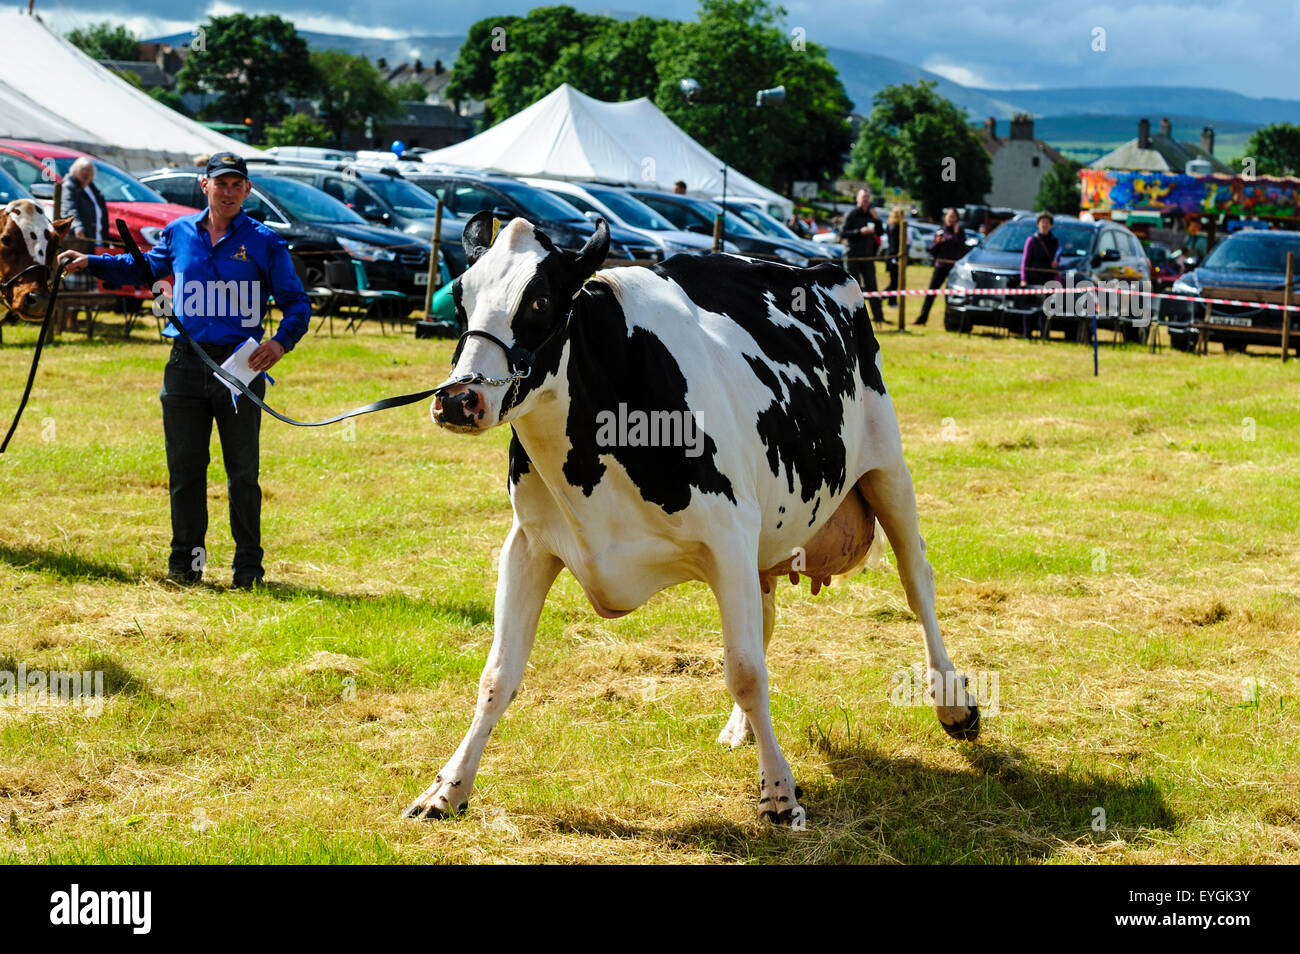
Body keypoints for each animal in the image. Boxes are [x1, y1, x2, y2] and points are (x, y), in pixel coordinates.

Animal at [409, 210, 980, 827]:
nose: (457, 399)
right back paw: (741, 731)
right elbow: (498, 676)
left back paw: (954, 705)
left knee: (917, 583)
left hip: (887, 469)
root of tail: (822, 269)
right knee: (767, 622)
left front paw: (779, 792)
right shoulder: (529, 545)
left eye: (538, 300)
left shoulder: (728, 536)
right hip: (768, 540)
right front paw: (448, 787)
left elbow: (746, 670)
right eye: (460, 298)